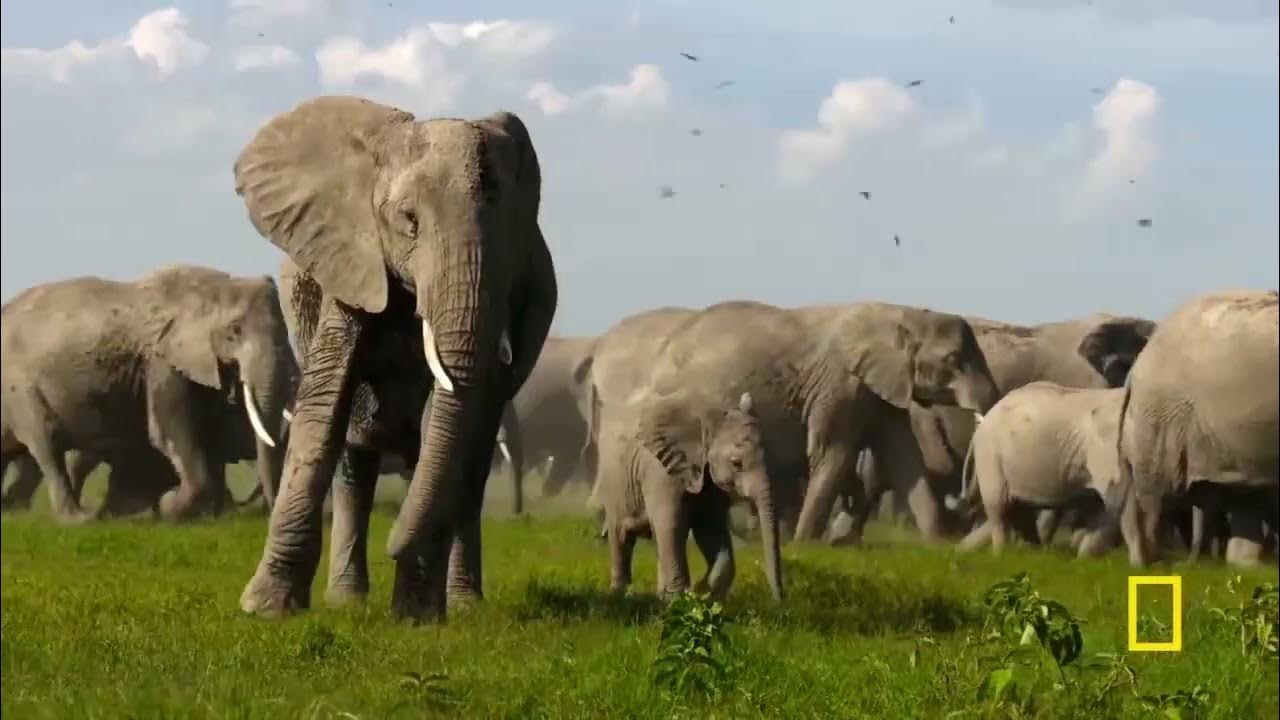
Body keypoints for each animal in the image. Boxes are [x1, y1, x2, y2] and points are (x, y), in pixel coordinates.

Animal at [0, 266, 293, 523]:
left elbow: (211, 433)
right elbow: (169, 434)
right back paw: (80, 519)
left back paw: (14, 512)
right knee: (46, 443)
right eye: (235, 330)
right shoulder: (161, 362)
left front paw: (205, 515)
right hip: (19, 387)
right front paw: (169, 506)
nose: (269, 513)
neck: (214, 285)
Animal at [233, 96, 557, 621]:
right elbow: (324, 404)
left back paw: (463, 607)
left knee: (470, 463)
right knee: (355, 456)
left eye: (512, 232)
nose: (393, 544)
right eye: (409, 220)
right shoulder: (349, 261)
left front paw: (417, 617)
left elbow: (449, 424)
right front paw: (266, 609)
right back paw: (346, 600)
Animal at [598, 391, 780, 600]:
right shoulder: (660, 473)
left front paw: (701, 591)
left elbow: (710, 530)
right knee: (621, 535)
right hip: (614, 482)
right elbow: (671, 525)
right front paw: (681, 599)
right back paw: (621, 596)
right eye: (736, 463)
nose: (778, 601)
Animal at [956, 382, 1128, 557]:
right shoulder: (1106, 451)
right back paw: (999, 556)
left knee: (1017, 511)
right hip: (990, 455)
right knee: (999, 508)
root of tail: (983, 422)